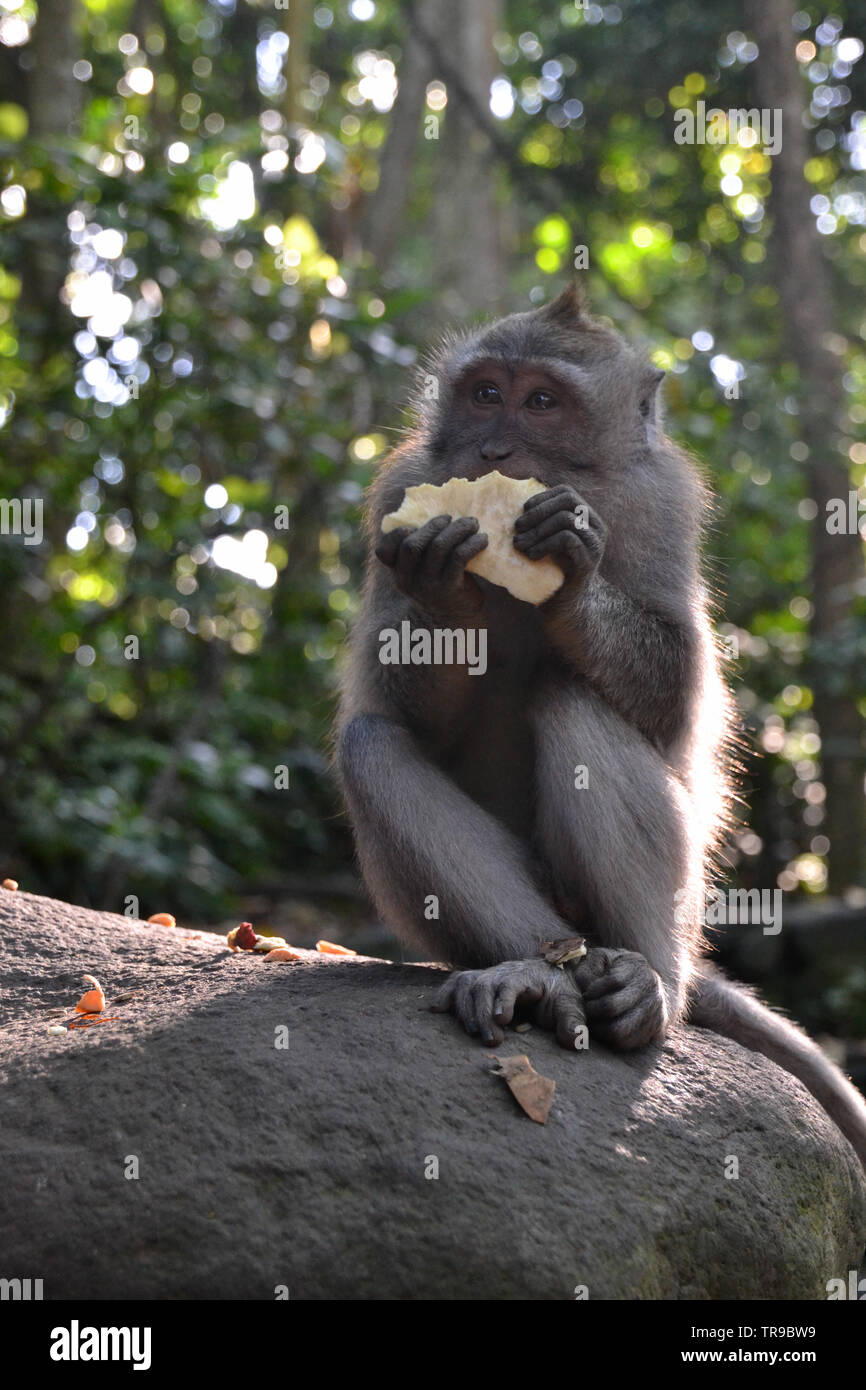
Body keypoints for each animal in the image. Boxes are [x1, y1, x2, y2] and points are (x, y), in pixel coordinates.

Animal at [335, 284, 866, 1169]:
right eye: (486, 392)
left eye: (542, 402)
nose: (494, 444)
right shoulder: (401, 490)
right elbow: (398, 709)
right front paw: (444, 581)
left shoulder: (664, 501)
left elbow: (677, 694)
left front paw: (571, 572)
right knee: (372, 746)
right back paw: (535, 974)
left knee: (574, 700)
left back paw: (649, 987)